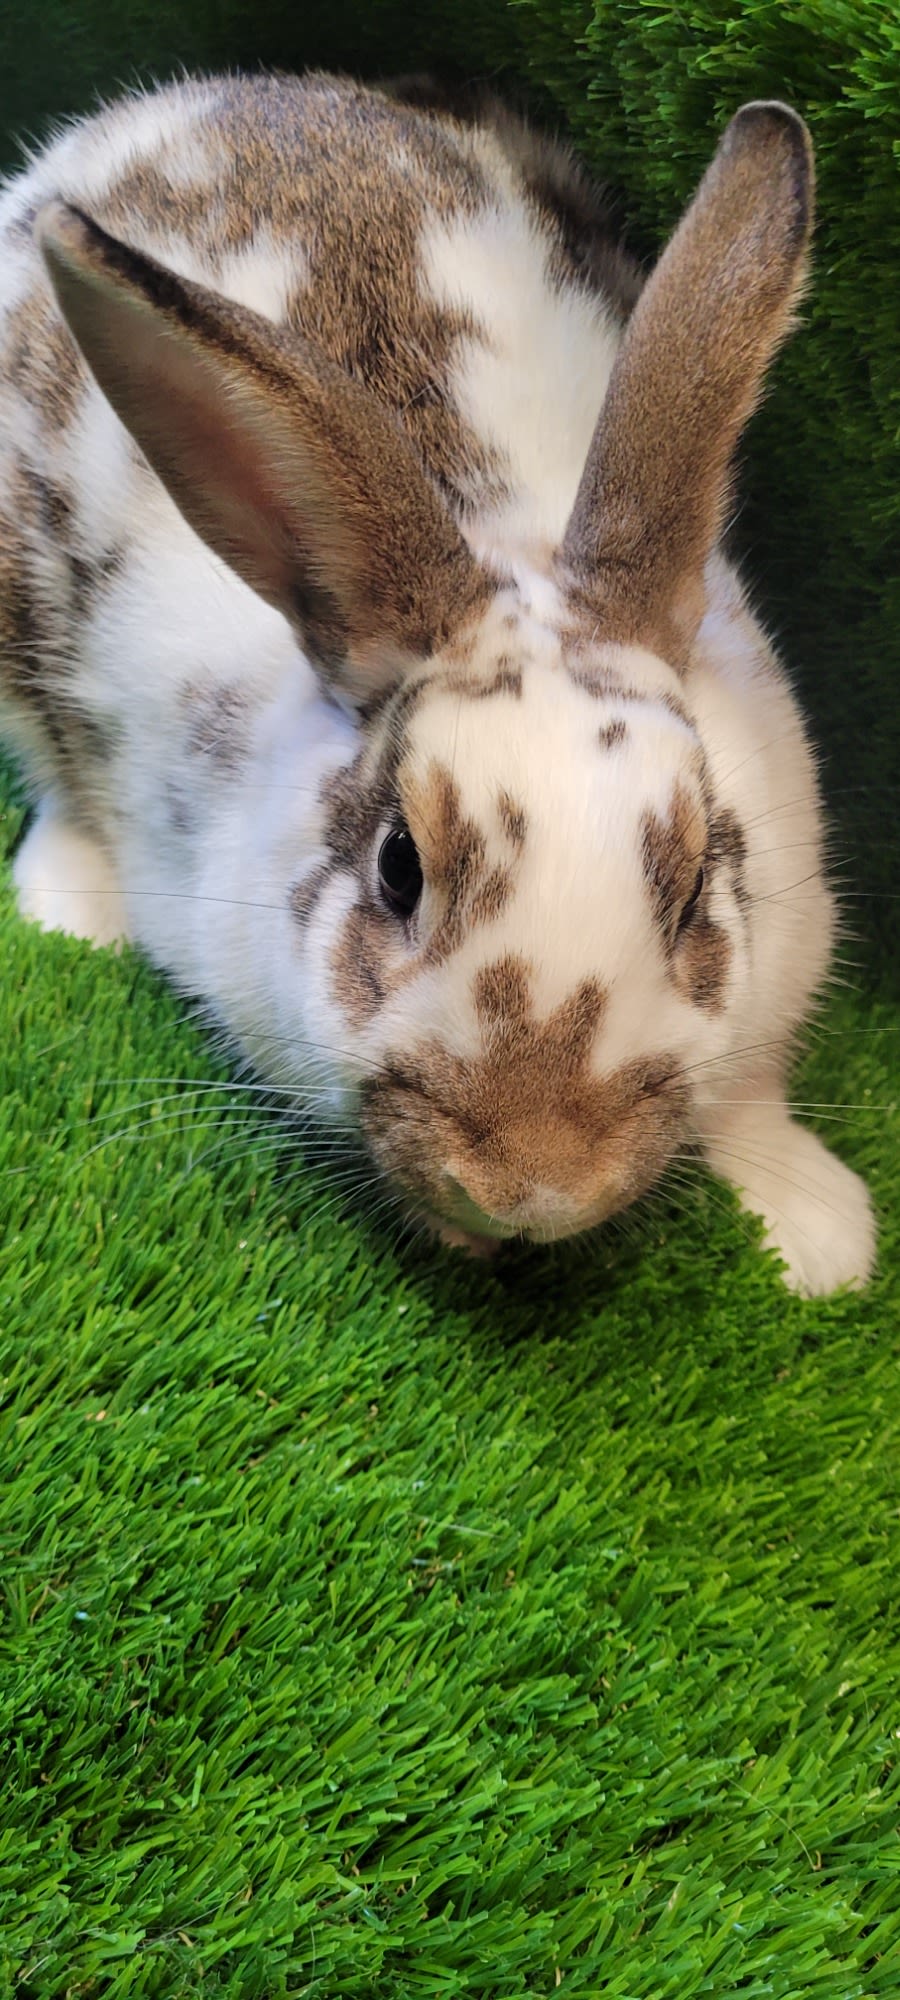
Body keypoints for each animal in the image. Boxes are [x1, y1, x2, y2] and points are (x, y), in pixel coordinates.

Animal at [0, 70, 876, 1295]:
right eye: (398, 868)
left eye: (696, 886)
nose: (534, 1186)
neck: (499, 536)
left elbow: (748, 1099)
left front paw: (819, 1238)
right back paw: (72, 906)